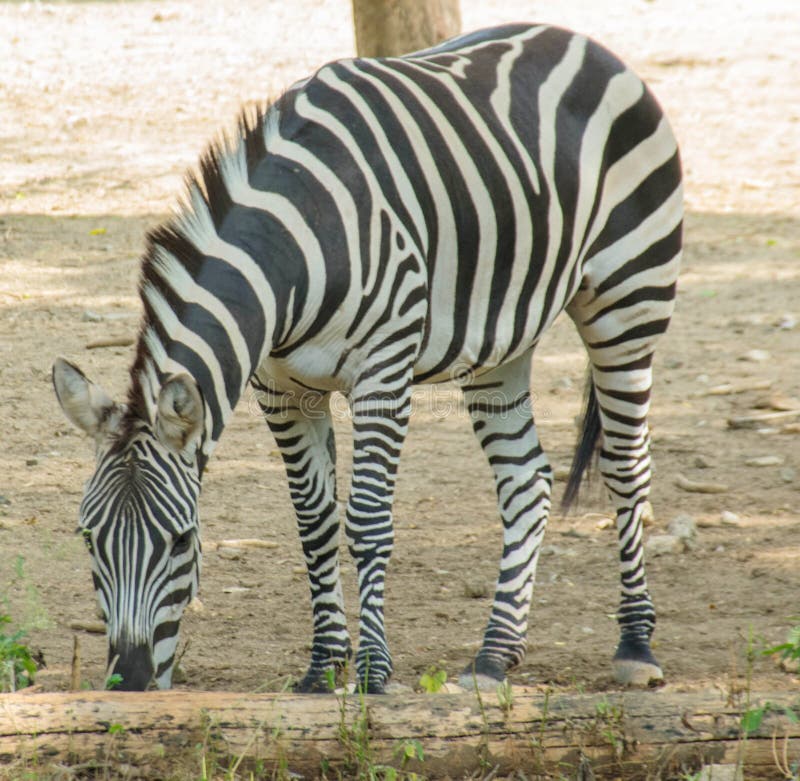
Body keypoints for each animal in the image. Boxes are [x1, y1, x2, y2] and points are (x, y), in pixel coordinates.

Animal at [53, 22, 682, 693]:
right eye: (88, 539)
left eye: (180, 541)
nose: (129, 683)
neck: (296, 242)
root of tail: (577, 39)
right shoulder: (283, 391)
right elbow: (315, 524)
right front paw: (322, 667)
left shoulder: (382, 374)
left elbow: (368, 521)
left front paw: (374, 672)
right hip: (500, 343)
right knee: (526, 481)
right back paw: (493, 655)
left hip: (628, 303)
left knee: (626, 467)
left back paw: (635, 645)